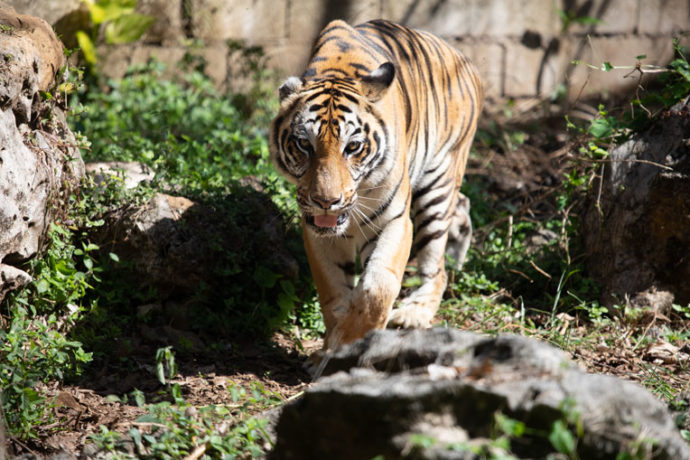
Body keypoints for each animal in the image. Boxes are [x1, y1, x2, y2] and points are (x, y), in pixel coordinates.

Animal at [270, 19, 482, 351]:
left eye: (353, 147)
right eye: (304, 144)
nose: (326, 201)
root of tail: (463, 58)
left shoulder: (395, 220)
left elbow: (377, 287)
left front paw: (349, 344)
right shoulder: (317, 230)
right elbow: (333, 292)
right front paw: (333, 340)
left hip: (437, 182)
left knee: (437, 267)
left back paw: (413, 314)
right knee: (462, 205)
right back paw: (458, 254)